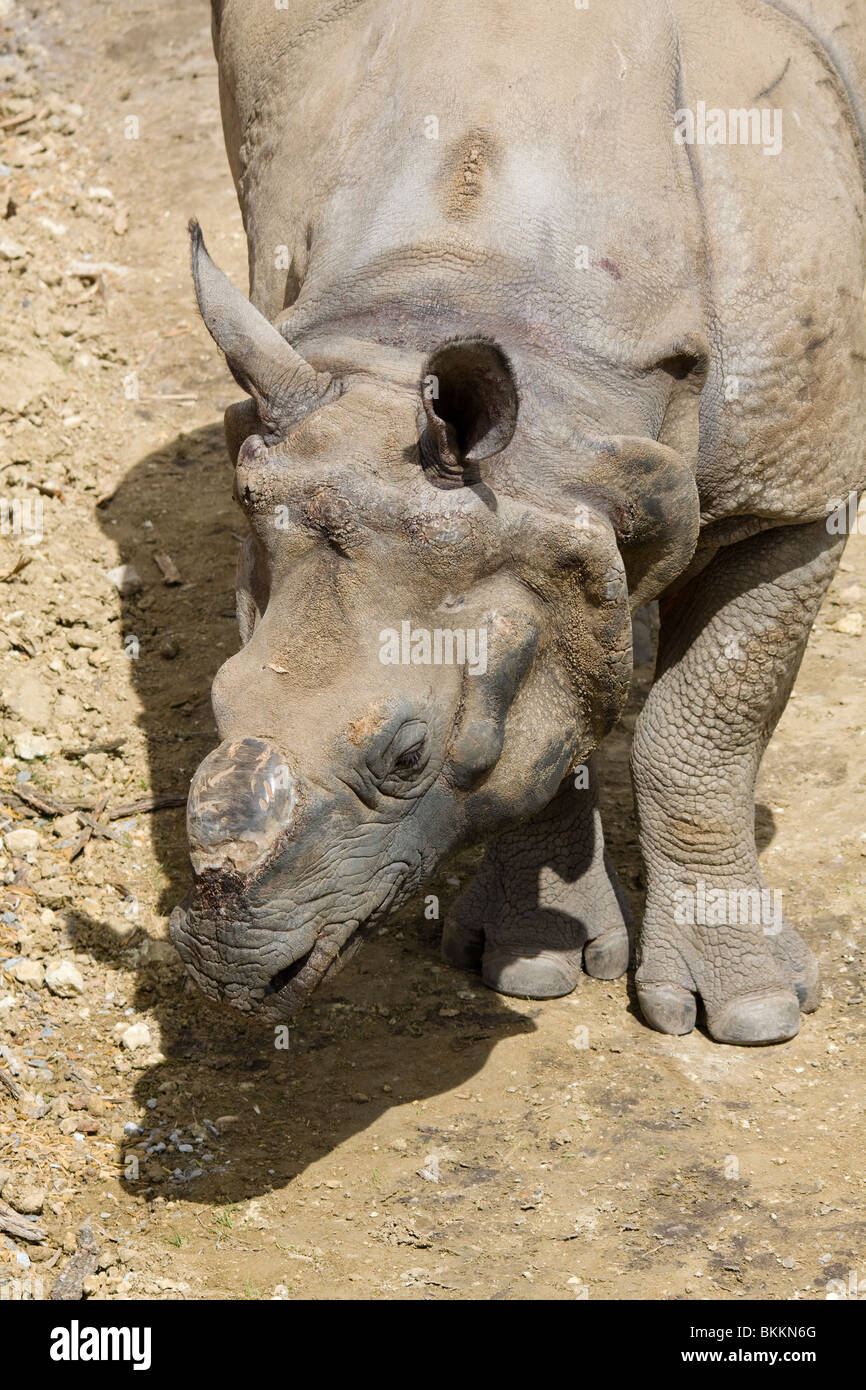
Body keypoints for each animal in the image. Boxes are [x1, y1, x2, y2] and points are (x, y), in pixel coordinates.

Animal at [170, 0, 866, 1045]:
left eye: (407, 757)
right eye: (218, 698)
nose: (230, 971)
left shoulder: (794, 495)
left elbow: (705, 727)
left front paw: (749, 1018)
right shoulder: (528, 517)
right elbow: (555, 708)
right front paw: (532, 967)